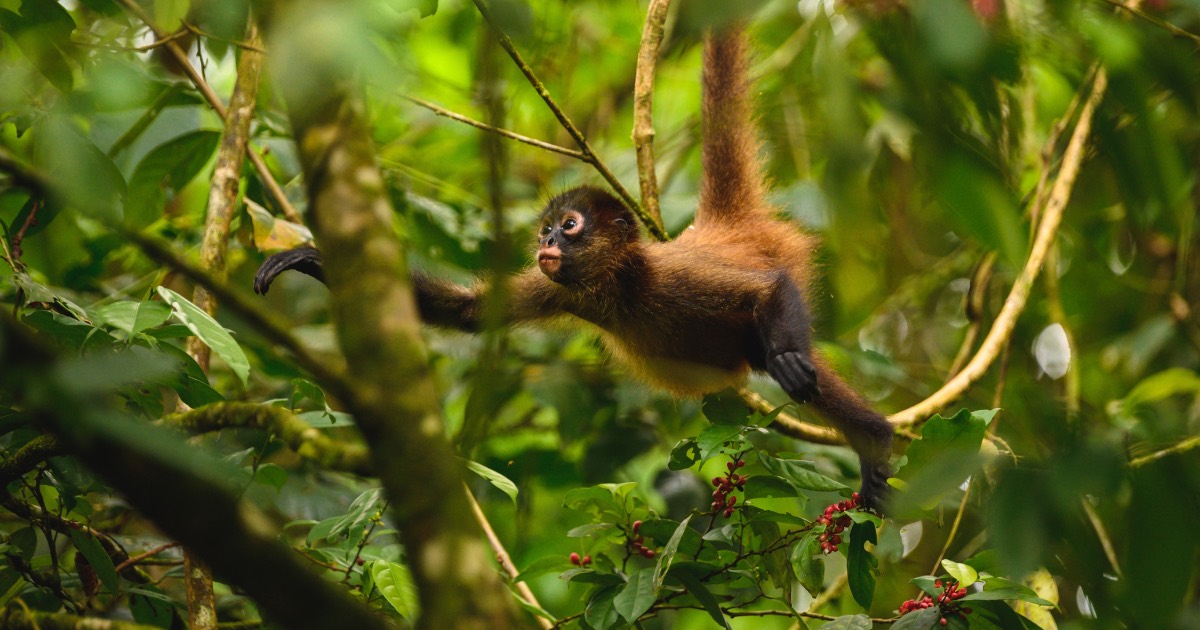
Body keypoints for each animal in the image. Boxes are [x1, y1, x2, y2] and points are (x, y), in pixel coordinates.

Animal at [254, 27, 894, 510]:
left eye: (570, 225)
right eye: (545, 229)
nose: (546, 242)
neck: (619, 285)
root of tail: (723, 227)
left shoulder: (665, 281)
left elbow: (771, 289)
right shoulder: (563, 291)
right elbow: (470, 314)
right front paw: (309, 259)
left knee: (790, 357)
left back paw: (870, 434)